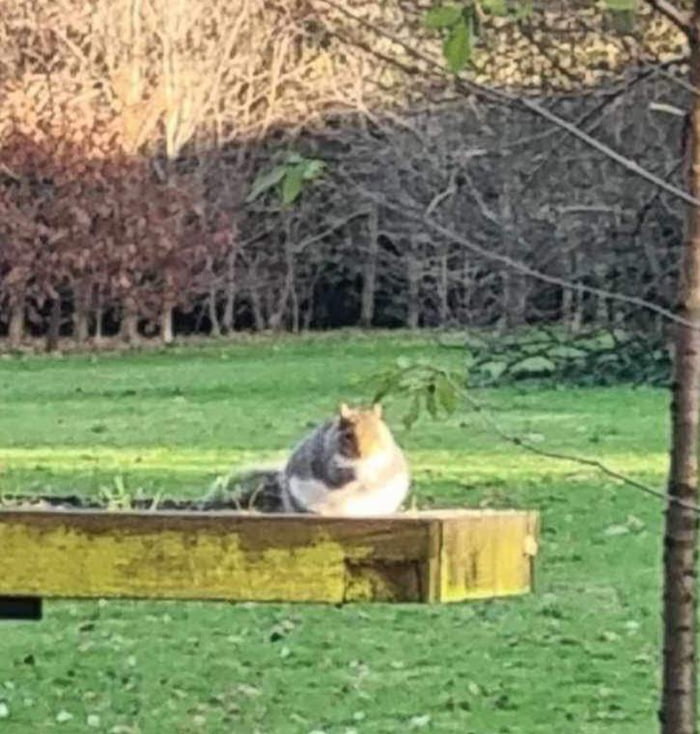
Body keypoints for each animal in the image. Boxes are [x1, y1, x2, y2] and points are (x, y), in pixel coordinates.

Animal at [203, 402, 410, 516]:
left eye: (380, 432)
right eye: (347, 435)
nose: (362, 453)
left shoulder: (388, 459)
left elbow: (383, 473)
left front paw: (371, 477)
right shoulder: (326, 458)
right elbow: (334, 474)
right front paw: (355, 473)